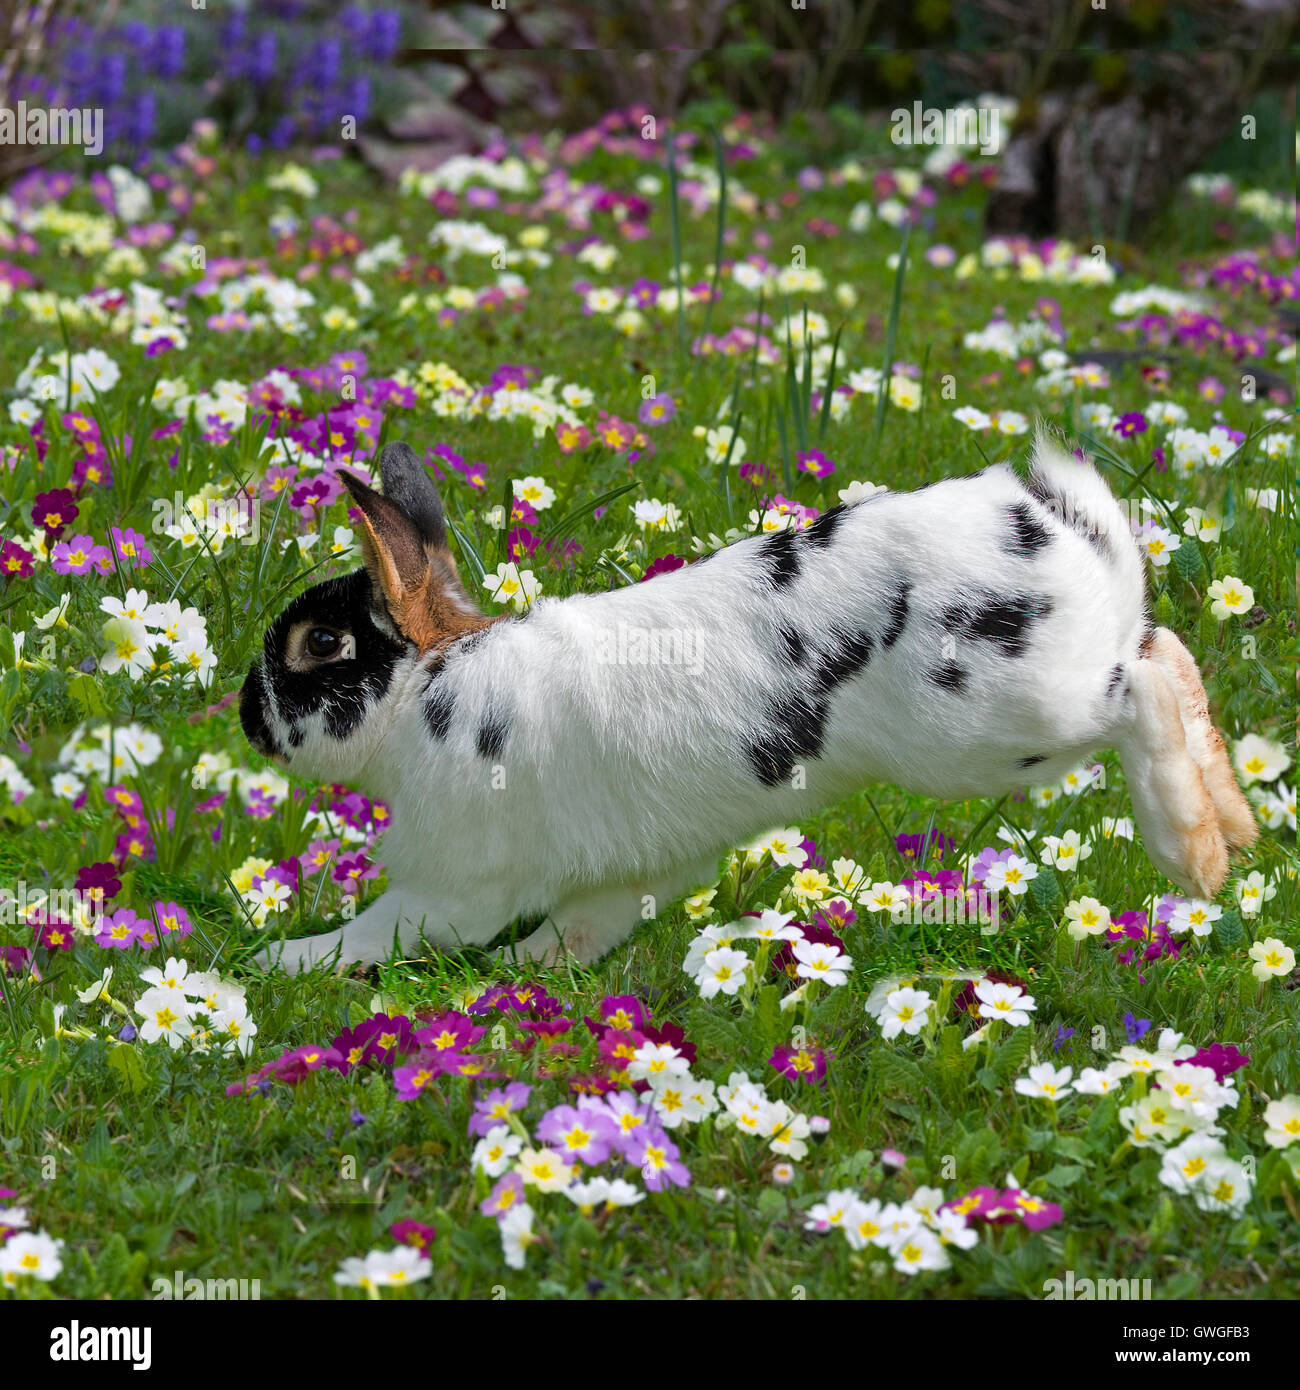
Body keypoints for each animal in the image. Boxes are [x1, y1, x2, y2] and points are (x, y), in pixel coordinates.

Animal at [239, 434, 1257, 974]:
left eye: (320, 646)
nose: (246, 715)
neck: (427, 684)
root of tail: (1059, 532)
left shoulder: (453, 876)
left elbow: (384, 930)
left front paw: (280, 961)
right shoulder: (622, 873)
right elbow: (577, 931)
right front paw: (523, 983)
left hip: (1005, 722)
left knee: (1145, 682)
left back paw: (1192, 852)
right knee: (1167, 653)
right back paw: (1235, 832)